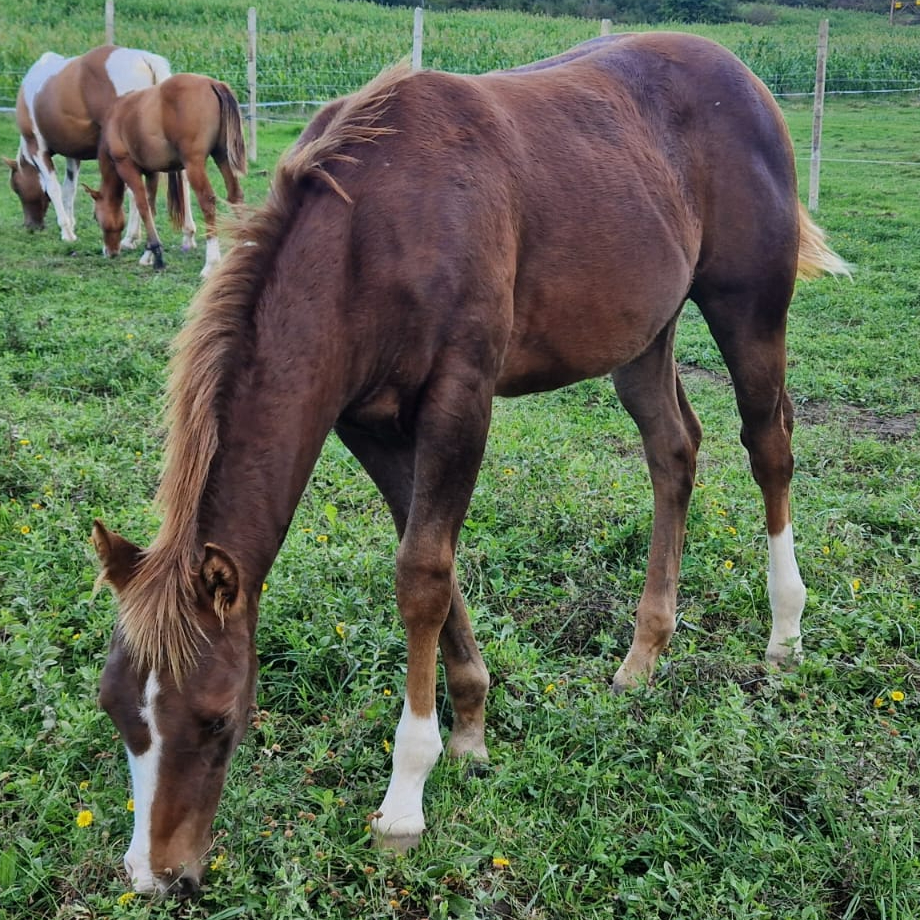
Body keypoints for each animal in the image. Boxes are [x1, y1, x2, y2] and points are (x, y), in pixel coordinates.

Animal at [4, 45, 171, 243]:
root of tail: (144, 58)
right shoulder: (72, 154)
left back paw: (131, 238)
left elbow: (53, 188)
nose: (31, 226)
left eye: (17, 188)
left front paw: (66, 231)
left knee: (135, 192)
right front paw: (71, 226)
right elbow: (69, 189)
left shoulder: (37, 148)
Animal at [84, 73, 246, 278]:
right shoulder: (151, 172)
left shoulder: (127, 167)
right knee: (235, 195)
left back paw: (211, 263)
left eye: (96, 217)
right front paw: (148, 254)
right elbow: (151, 207)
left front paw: (157, 255)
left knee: (207, 201)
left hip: (194, 165)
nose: (109, 252)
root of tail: (212, 83)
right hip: (223, 157)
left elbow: (143, 206)